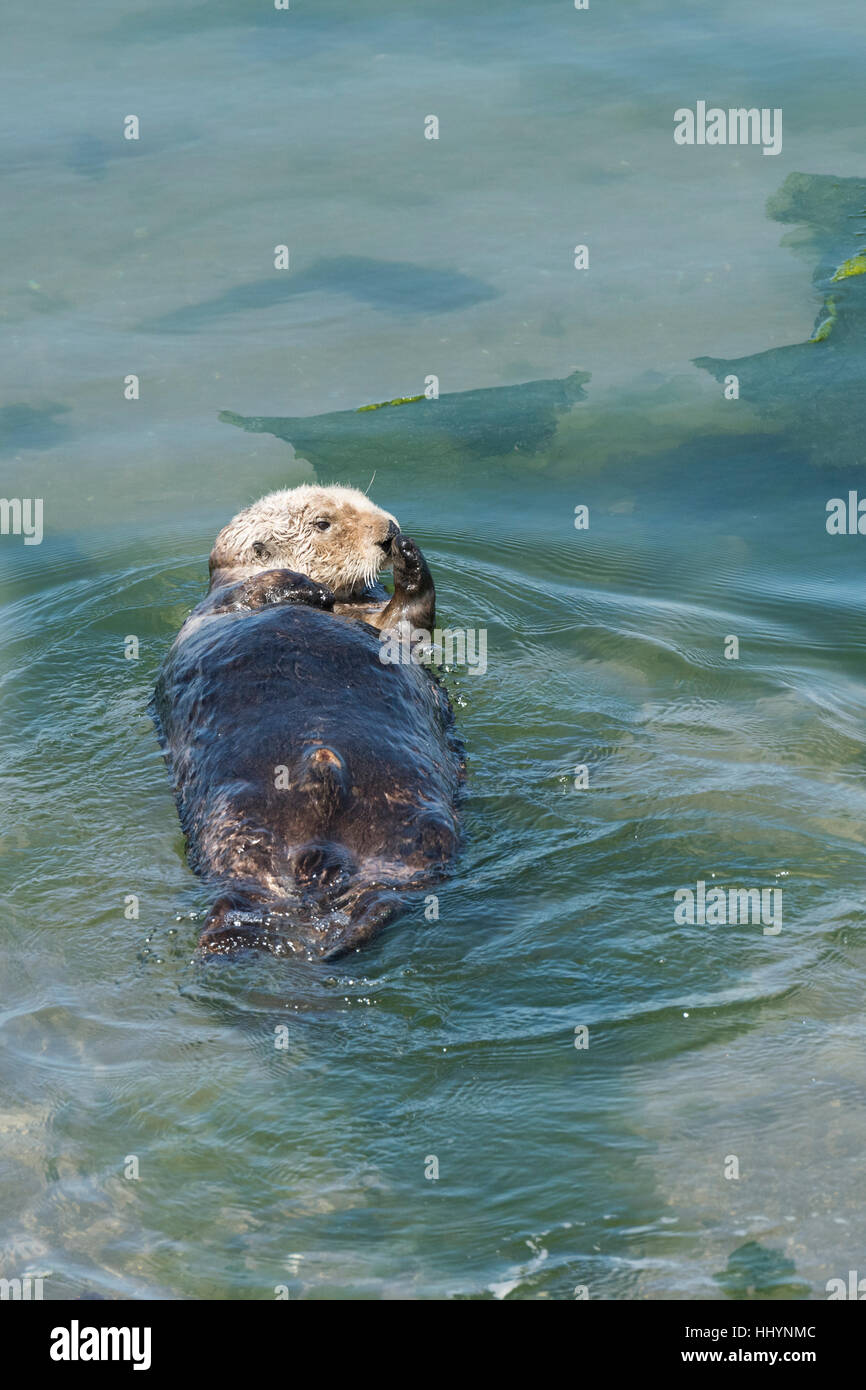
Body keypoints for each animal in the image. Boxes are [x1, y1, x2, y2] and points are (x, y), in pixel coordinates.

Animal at [152, 484, 463, 960]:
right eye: (323, 523)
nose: (389, 533)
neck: (343, 604)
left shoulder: (382, 623)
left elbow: (407, 622)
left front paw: (410, 554)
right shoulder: (224, 599)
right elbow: (263, 585)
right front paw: (308, 586)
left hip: (411, 832)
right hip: (235, 833)